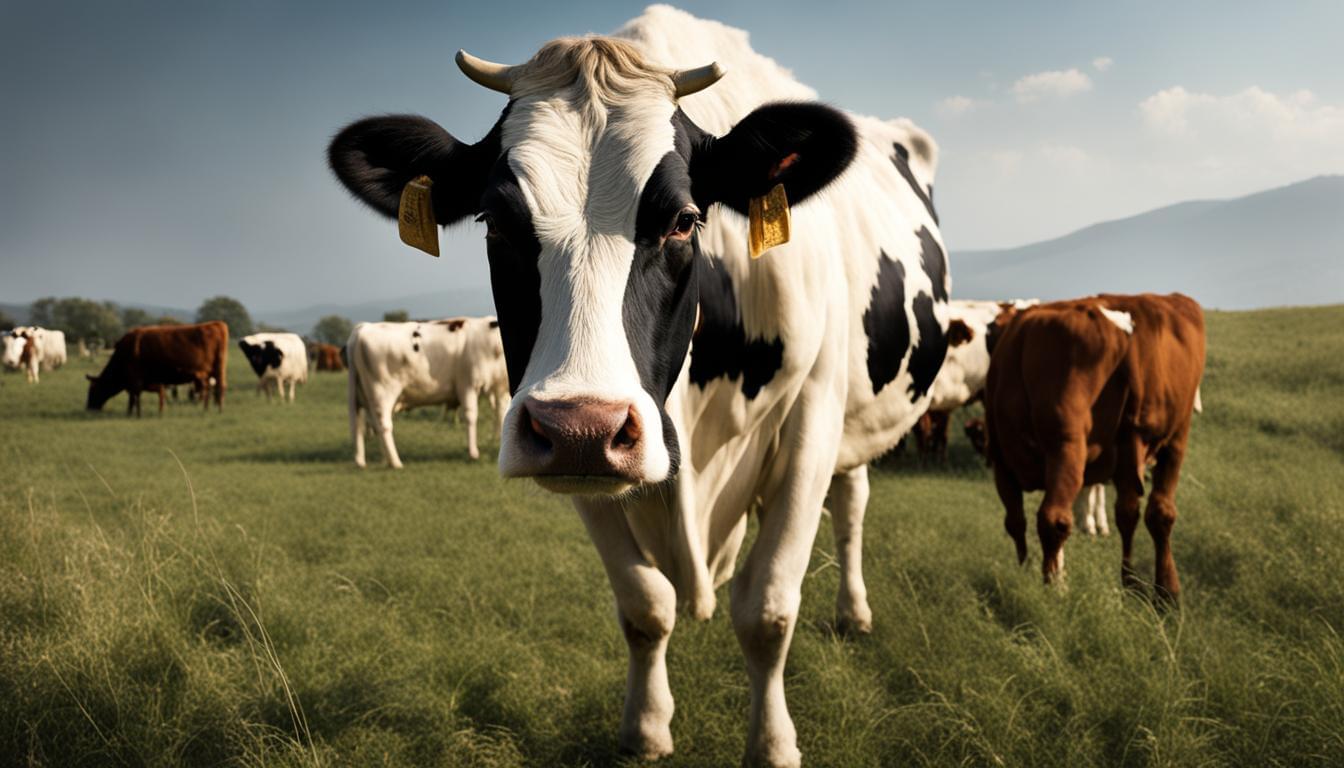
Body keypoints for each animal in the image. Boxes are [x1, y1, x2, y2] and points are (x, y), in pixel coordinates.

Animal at [86, 321, 229, 416]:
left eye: (92, 390)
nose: (88, 408)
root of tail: (215, 324)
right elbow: (134, 397)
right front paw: (131, 413)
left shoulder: (135, 379)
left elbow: (135, 397)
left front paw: (134, 414)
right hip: (206, 374)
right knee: (209, 390)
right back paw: (206, 409)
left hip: (217, 370)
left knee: (219, 387)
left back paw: (219, 410)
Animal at [346, 317, 510, 465]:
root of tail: (363, 328)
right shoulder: (467, 384)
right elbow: (471, 416)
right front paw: (473, 453)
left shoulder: (499, 388)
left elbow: (501, 413)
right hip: (382, 393)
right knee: (382, 425)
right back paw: (395, 462)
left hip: (361, 396)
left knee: (360, 425)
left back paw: (369, 460)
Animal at [985, 293, 1205, 601]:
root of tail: (1026, 327)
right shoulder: (1173, 441)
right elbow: (1160, 514)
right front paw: (1167, 591)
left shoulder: (1127, 450)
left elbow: (1127, 513)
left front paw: (1131, 582)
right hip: (1068, 450)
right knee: (1053, 519)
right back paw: (1055, 592)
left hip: (1002, 458)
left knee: (1016, 520)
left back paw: (1026, 576)